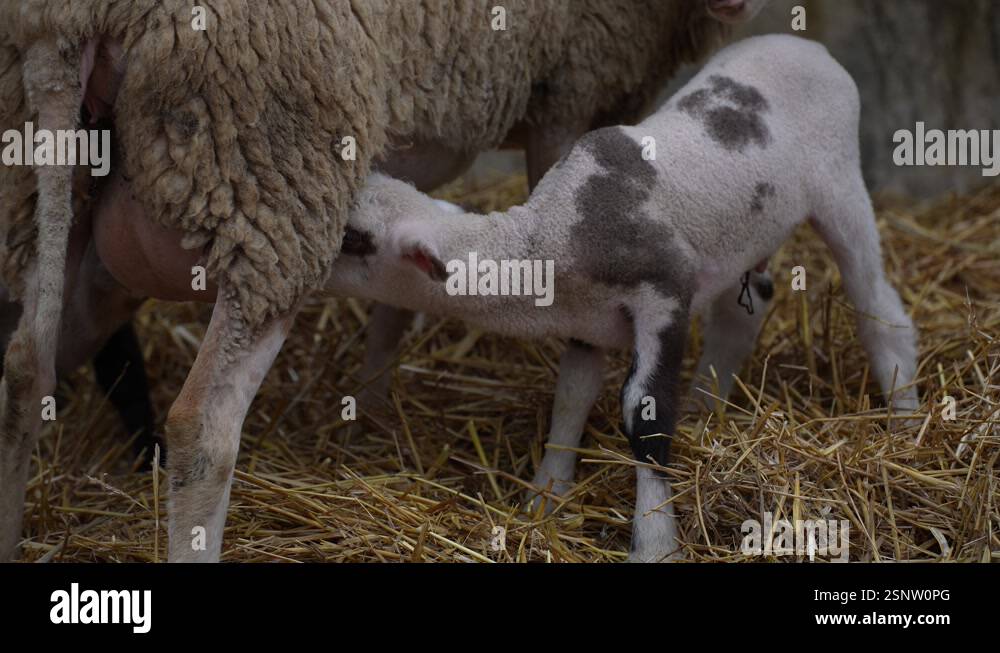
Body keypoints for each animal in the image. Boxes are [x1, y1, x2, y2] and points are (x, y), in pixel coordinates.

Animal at [0, 0, 768, 562]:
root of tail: (65, 19)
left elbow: (400, 298)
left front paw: (371, 410)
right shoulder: (571, 88)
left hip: (42, 175)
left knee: (25, 370)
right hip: (273, 179)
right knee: (202, 425)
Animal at [324, 35, 921, 562]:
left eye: (353, 239)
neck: (551, 233)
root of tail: (809, 46)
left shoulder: (665, 294)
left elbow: (643, 415)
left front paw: (655, 543)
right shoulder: (586, 319)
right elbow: (571, 397)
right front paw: (544, 499)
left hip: (840, 184)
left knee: (879, 309)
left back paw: (906, 419)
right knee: (744, 309)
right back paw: (707, 406)